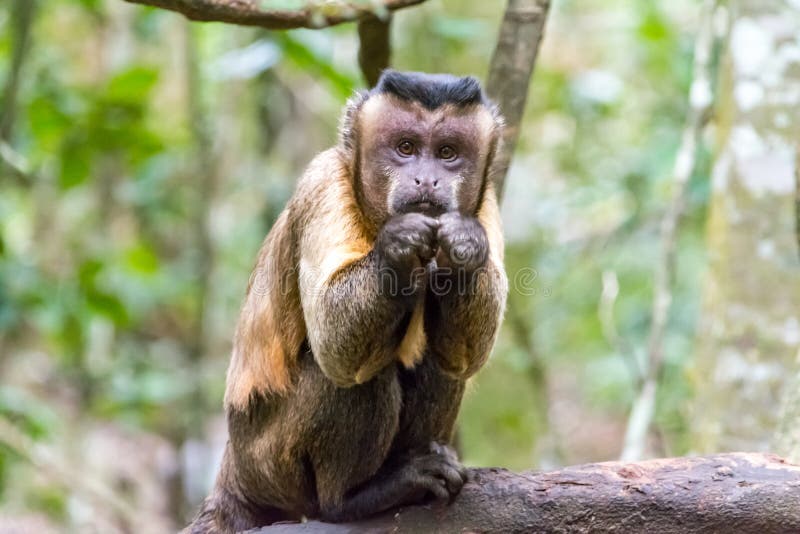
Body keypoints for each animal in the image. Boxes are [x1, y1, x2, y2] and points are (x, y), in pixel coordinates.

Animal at [187, 70, 508, 533]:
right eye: (406, 148)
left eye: (447, 153)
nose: (426, 179)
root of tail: (234, 467)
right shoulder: (322, 183)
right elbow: (336, 349)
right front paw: (400, 244)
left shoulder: (487, 203)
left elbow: (465, 356)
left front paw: (461, 247)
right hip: (266, 459)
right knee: (355, 373)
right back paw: (350, 499)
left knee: (436, 357)